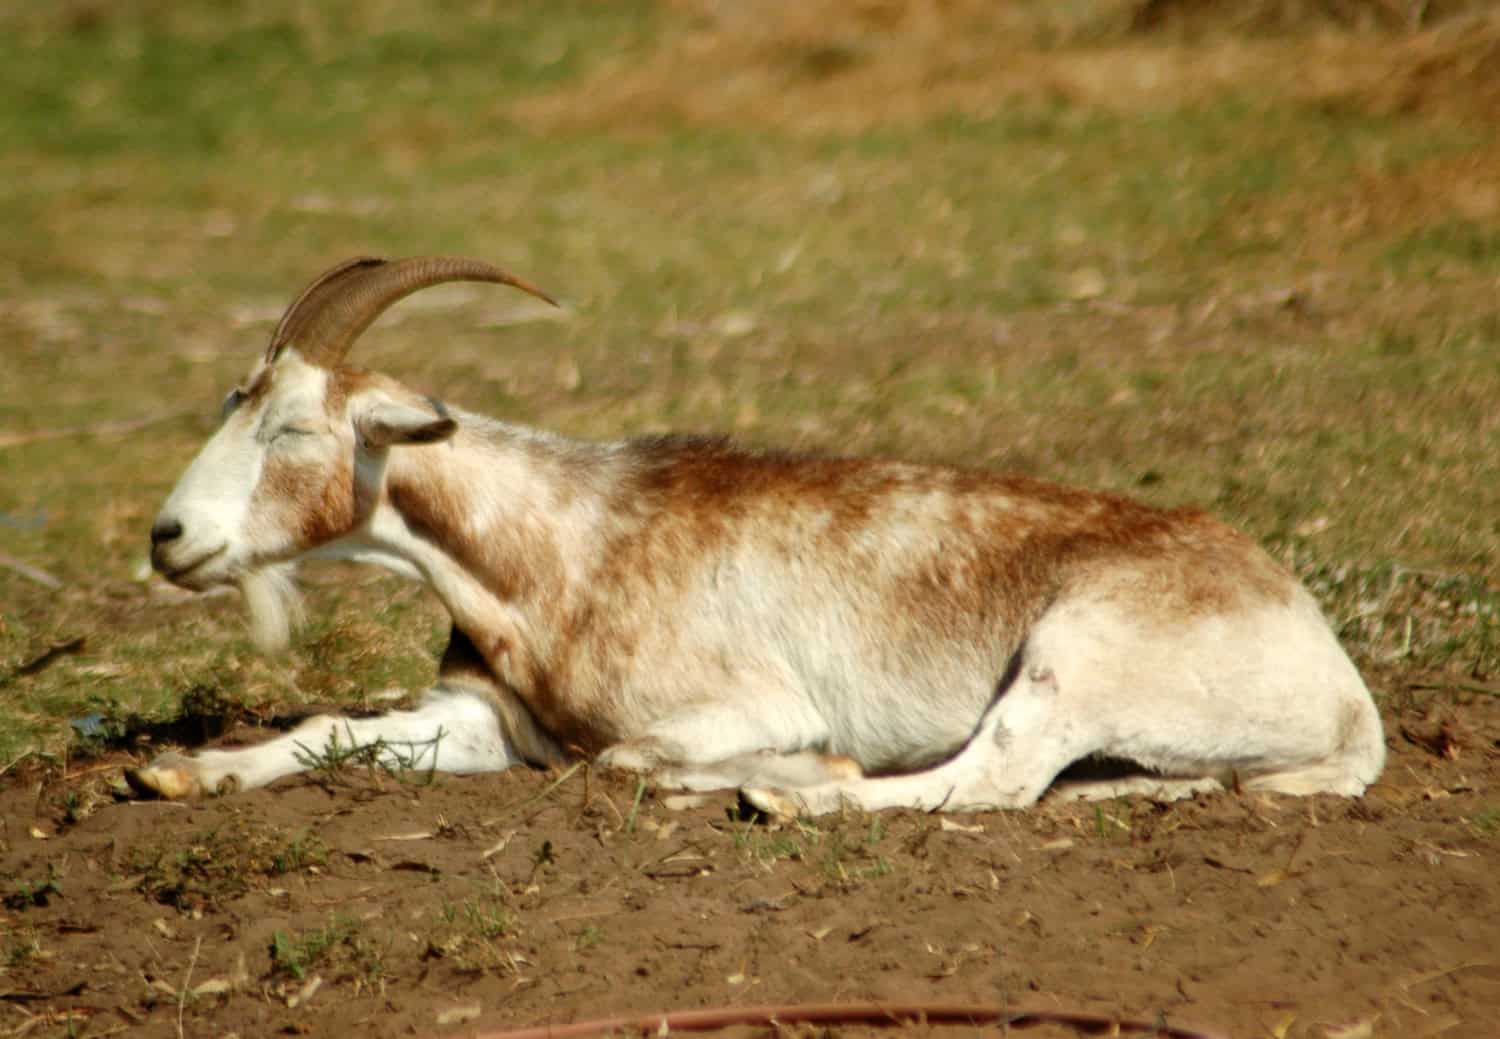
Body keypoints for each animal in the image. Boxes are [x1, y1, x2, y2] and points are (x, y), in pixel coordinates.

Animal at [131, 255, 1385, 814]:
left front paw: (799, 765)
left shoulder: (745, 703)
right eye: (233, 402)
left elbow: (633, 756)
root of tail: (1340, 686)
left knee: (991, 778)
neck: (569, 542)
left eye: (293, 424)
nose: (169, 535)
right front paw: (181, 770)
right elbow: (336, 731)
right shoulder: (487, 720)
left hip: (1073, 659)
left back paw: (794, 797)